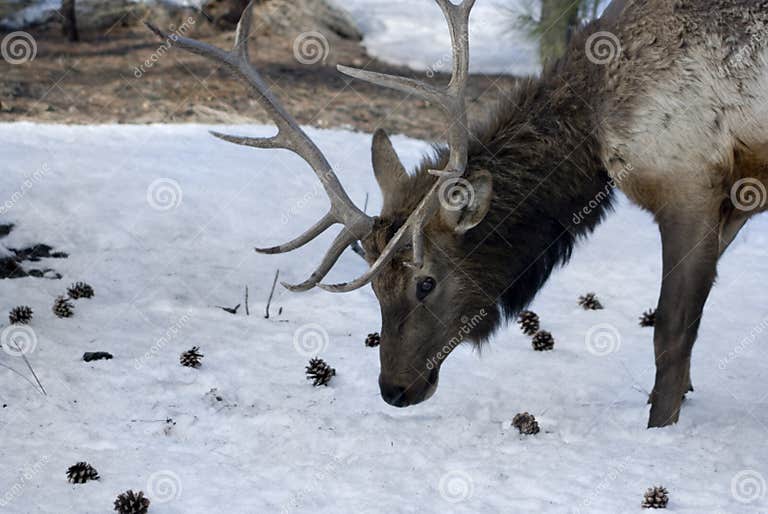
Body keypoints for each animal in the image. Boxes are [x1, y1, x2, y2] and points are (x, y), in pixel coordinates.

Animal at [148, 0, 768, 428]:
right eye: (376, 286)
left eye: (426, 282)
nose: (394, 389)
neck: (593, 124)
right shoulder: (737, 195)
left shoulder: (688, 181)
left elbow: (671, 330)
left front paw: (659, 427)